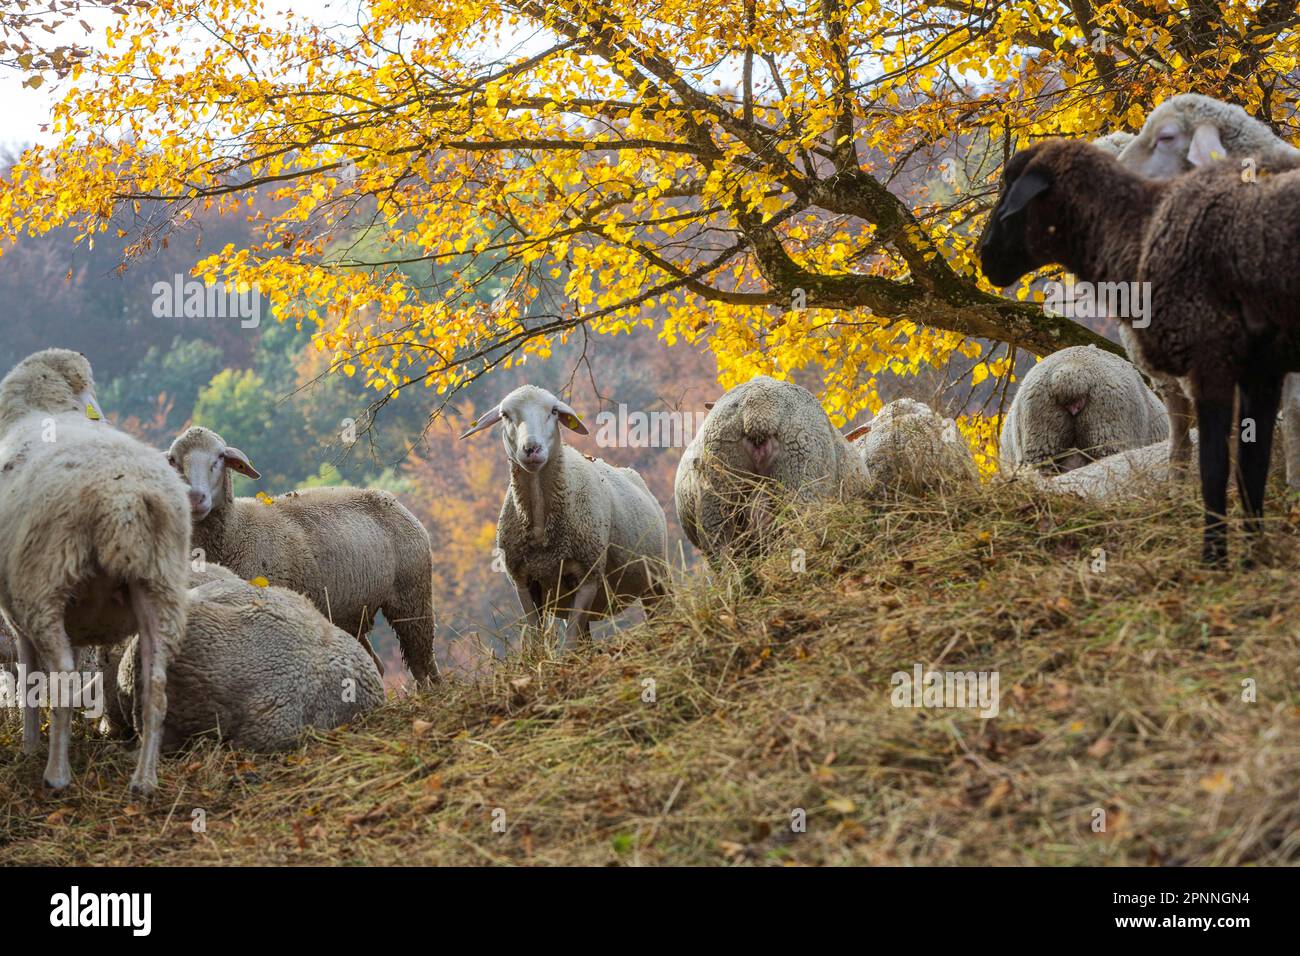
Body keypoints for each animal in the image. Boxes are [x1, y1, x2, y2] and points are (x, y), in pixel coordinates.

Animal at [0, 349, 191, 794]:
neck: (46, 405)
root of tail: (122, 497)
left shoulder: (18, 614)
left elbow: (29, 679)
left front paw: (28, 747)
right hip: (160, 586)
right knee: (156, 686)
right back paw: (144, 780)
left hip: (46, 584)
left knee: (63, 680)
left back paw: (56, 775)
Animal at [166, 426, 437, 682]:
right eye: (174, 460)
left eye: (220, 457)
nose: (195, 497)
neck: (237, 530)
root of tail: (389, 498)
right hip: (352, 614)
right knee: (377, 664)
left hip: (412, 597)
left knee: (422, 664)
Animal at [460, 385, 667, 642]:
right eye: (505, 415)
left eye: (554, 411)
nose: (531, 449)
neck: (541, 528)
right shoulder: (523, 582)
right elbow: (537, 638)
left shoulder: (589, 576)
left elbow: (568, 643)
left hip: (656, 578)